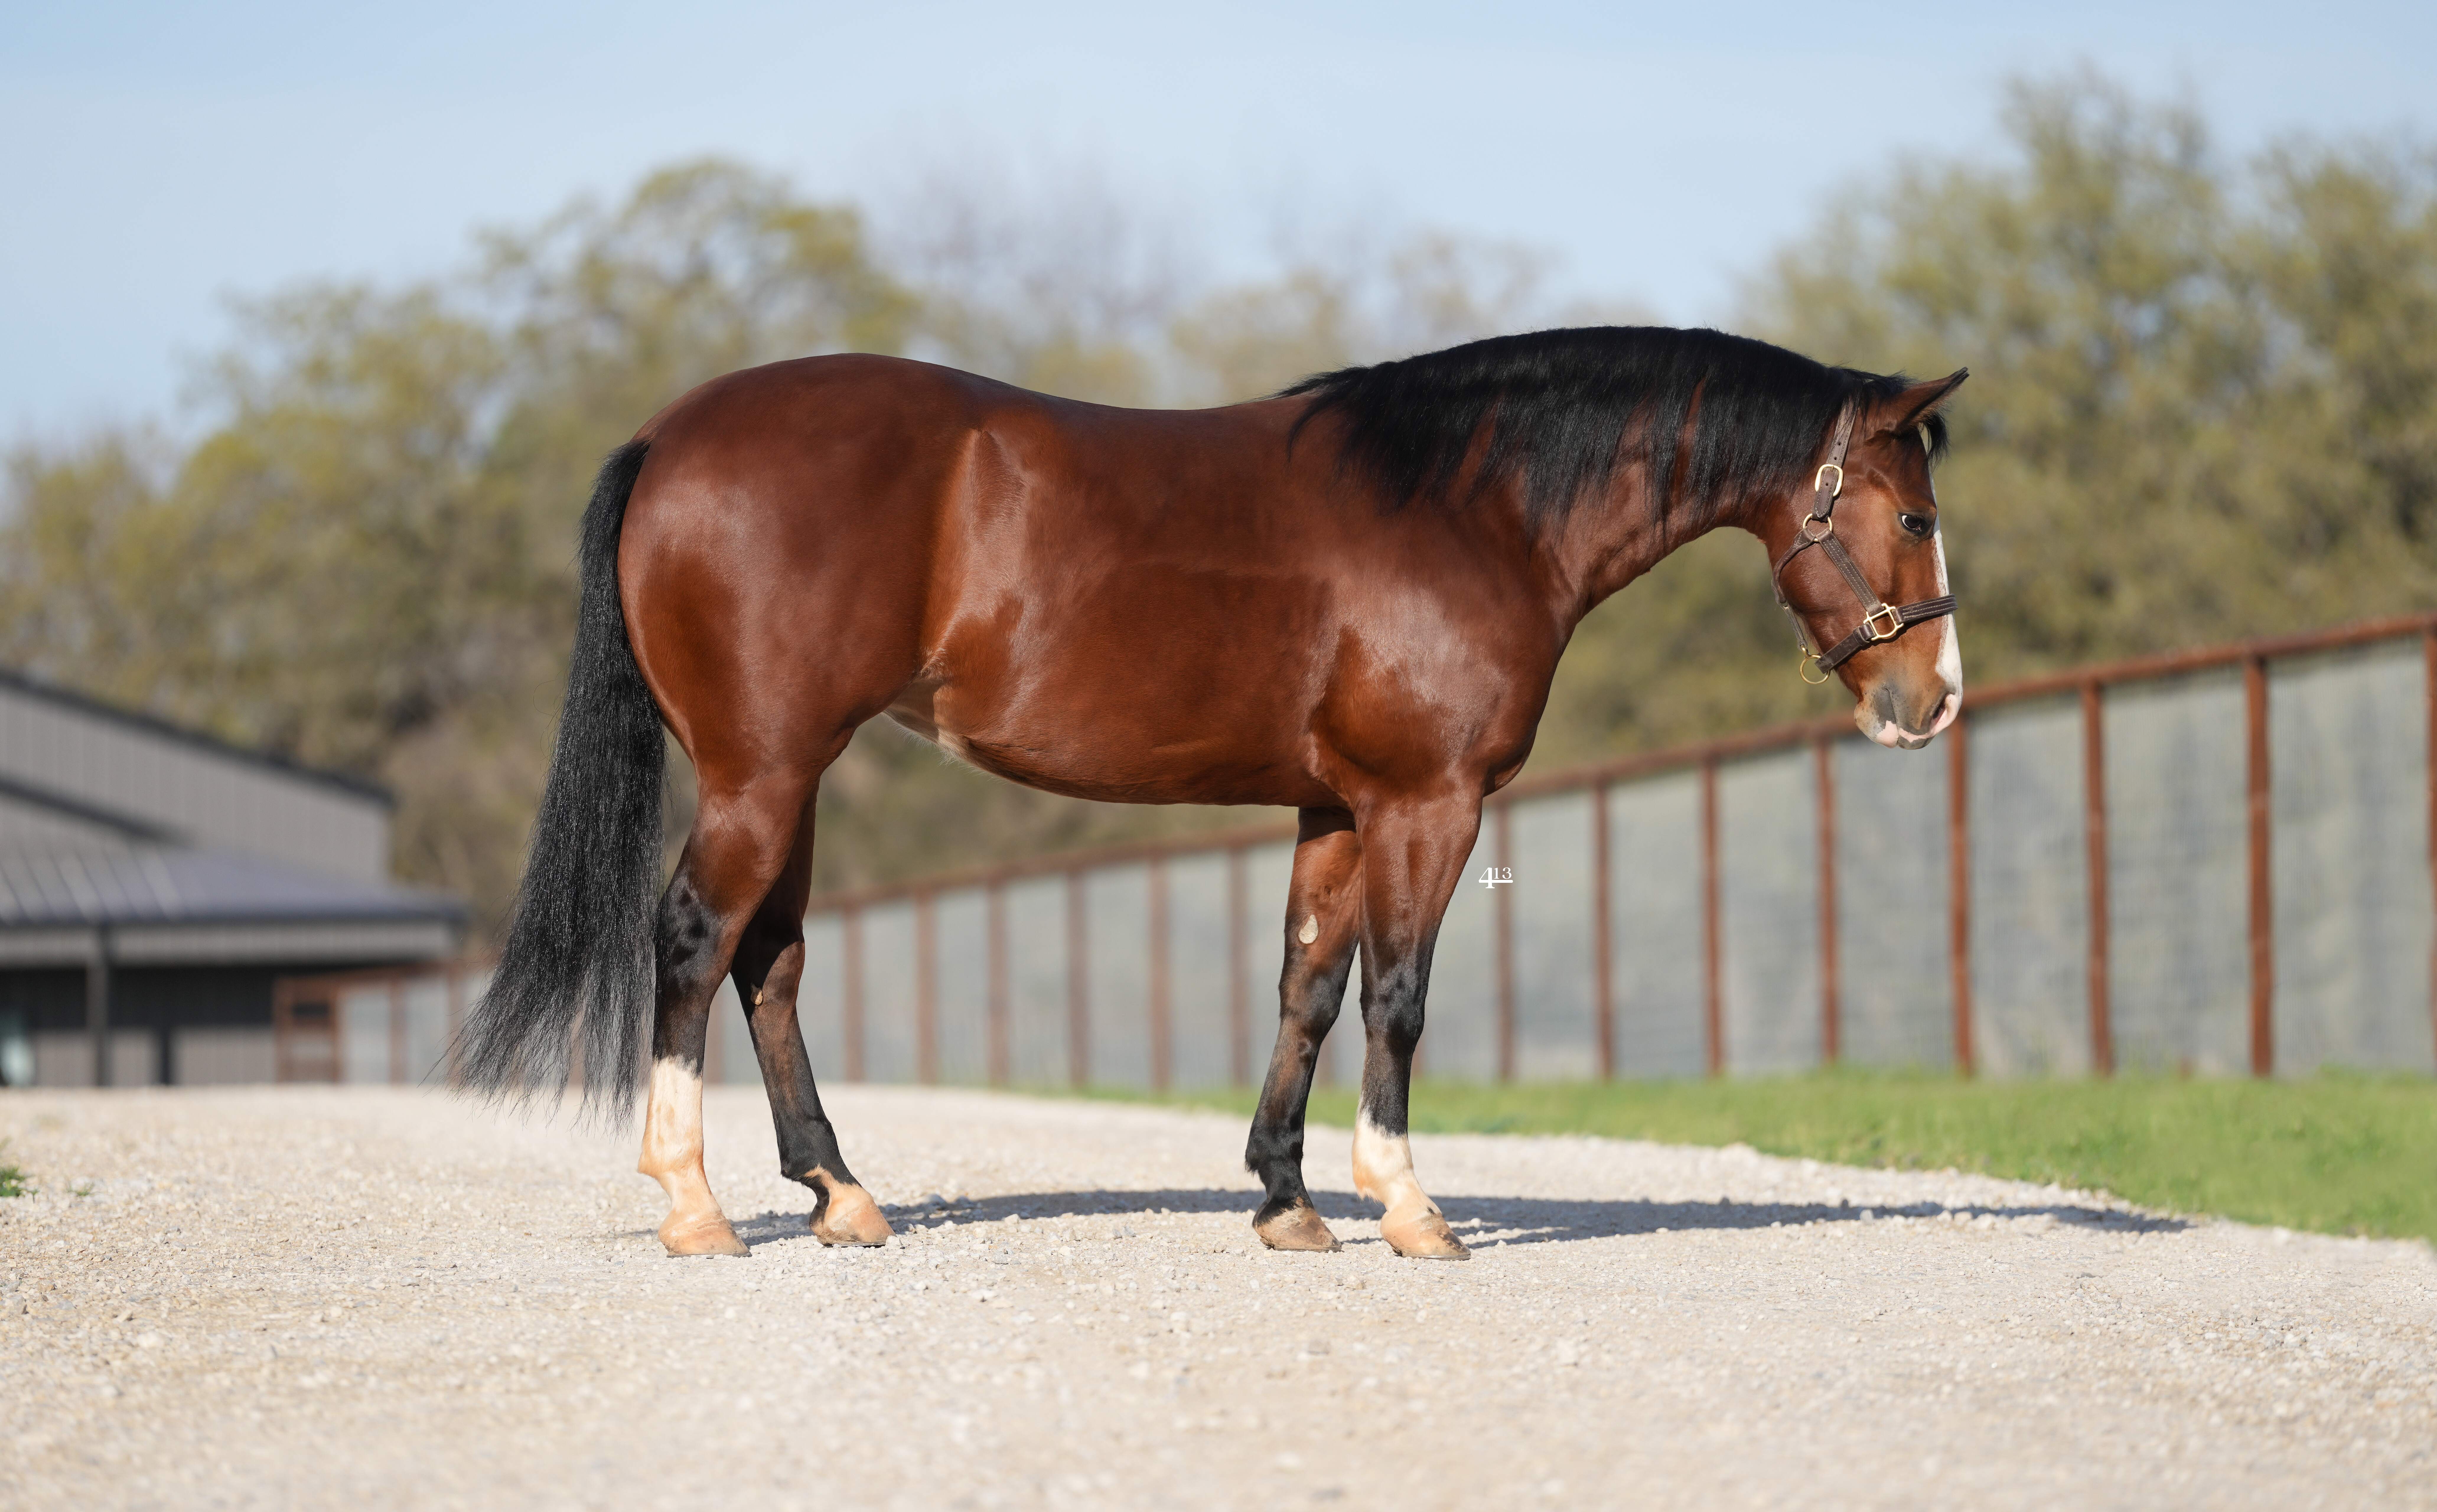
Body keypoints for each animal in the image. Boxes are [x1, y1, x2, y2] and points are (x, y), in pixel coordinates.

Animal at [457, 324, 1966, 1261]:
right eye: (1913, 512)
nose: (1932, 699)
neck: (1468, 507)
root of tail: (668, 435)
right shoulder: (1428, 803)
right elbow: (1396, 999)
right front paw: (1409, 1206)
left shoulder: (1337, 810)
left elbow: (1305, 988)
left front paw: (1286, 1199)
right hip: (760, 775)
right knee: (693, 940)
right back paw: (694, 1204)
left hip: (790, 776)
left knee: (768, 960)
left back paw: (840, 1191)